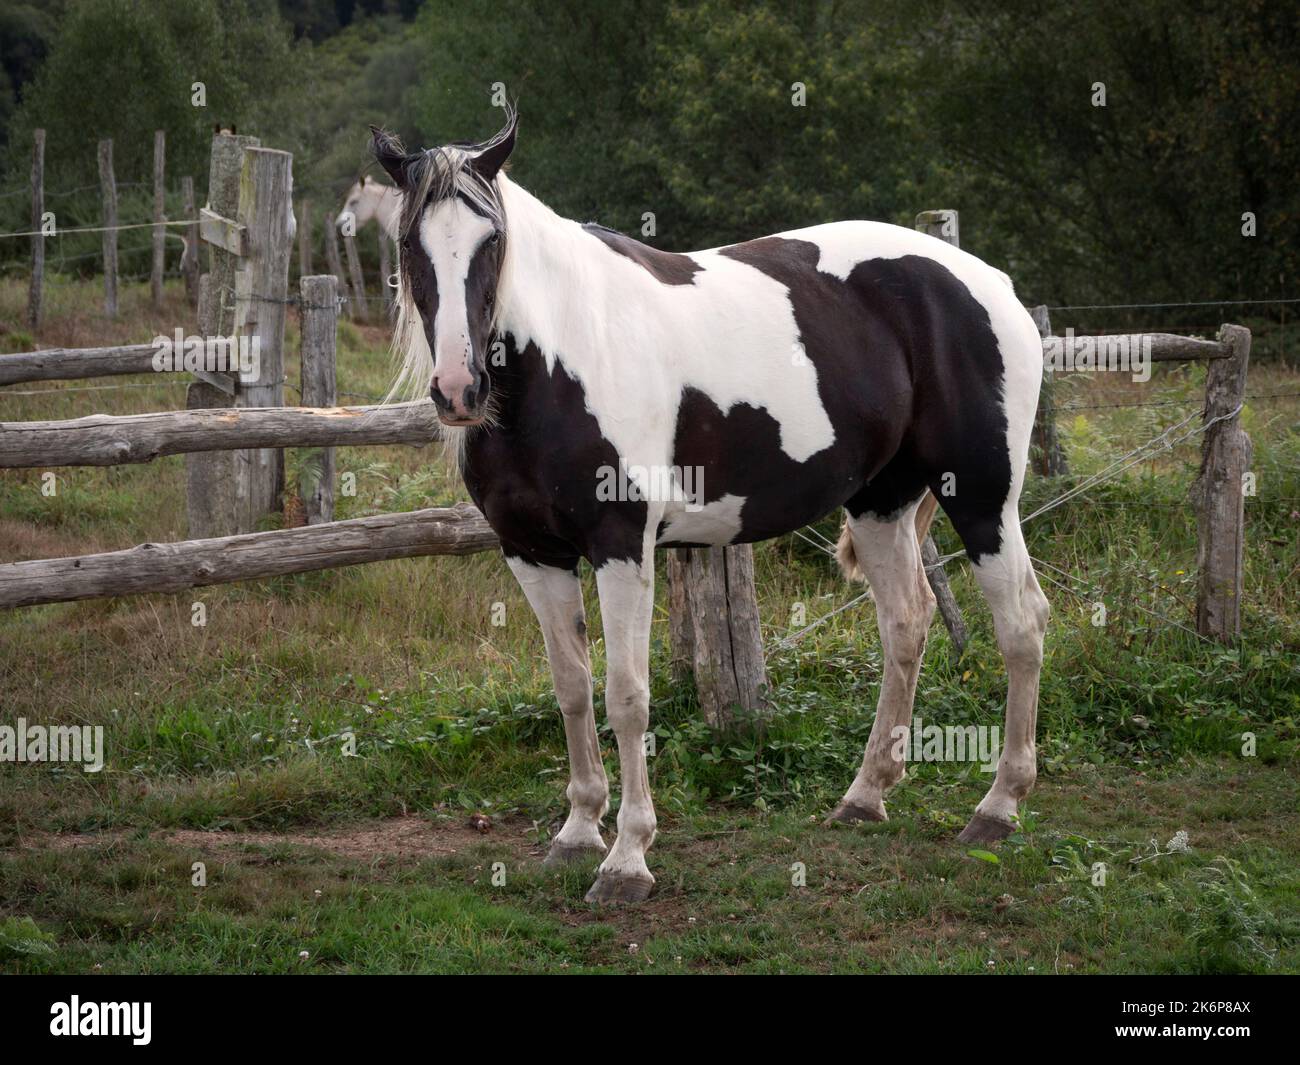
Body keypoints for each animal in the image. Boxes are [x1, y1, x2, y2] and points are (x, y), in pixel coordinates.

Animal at [370, 110, 1050, 904]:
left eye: (493, 240)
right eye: (409, 242)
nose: (459, 389)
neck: (562, 359)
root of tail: (989, 281)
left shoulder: (620, 544)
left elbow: (626, 696)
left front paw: (627, 858)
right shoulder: (531, 552)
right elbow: (571, 688)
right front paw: (577, 832)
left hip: (983, 497)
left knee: (1021, 626)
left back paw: (998, 808)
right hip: (880, 503)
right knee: (906, 625)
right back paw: (864, 795)